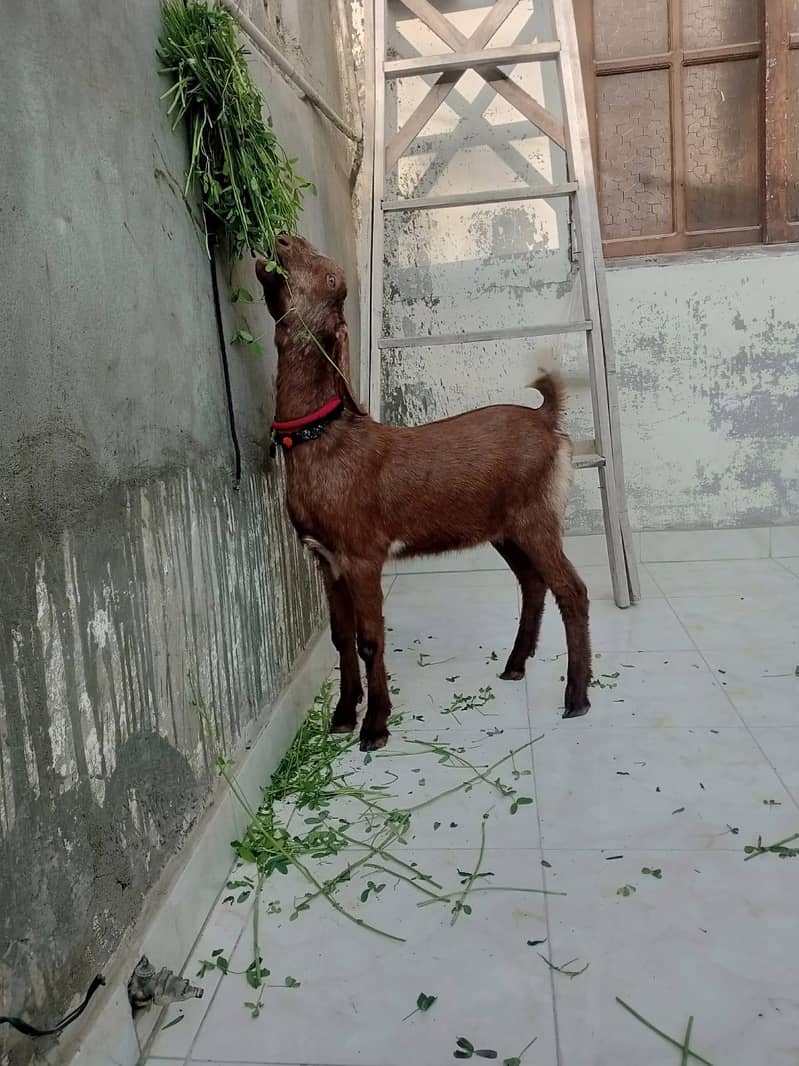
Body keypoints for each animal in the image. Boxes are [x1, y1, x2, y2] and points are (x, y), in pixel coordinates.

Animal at [256, 233, 591, 751]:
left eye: (331, 277)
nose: (282, 238)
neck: (326, 440)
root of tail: (547, 420)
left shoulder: (362, 554)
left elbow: (370, 639)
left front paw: (375, 726)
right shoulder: (326, 559)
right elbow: (340, 637)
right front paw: (343, 715)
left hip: (538, 516)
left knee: (571, 590)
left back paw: (576, 697)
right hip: (505, 527)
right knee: (532, 582)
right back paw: (515, 665)